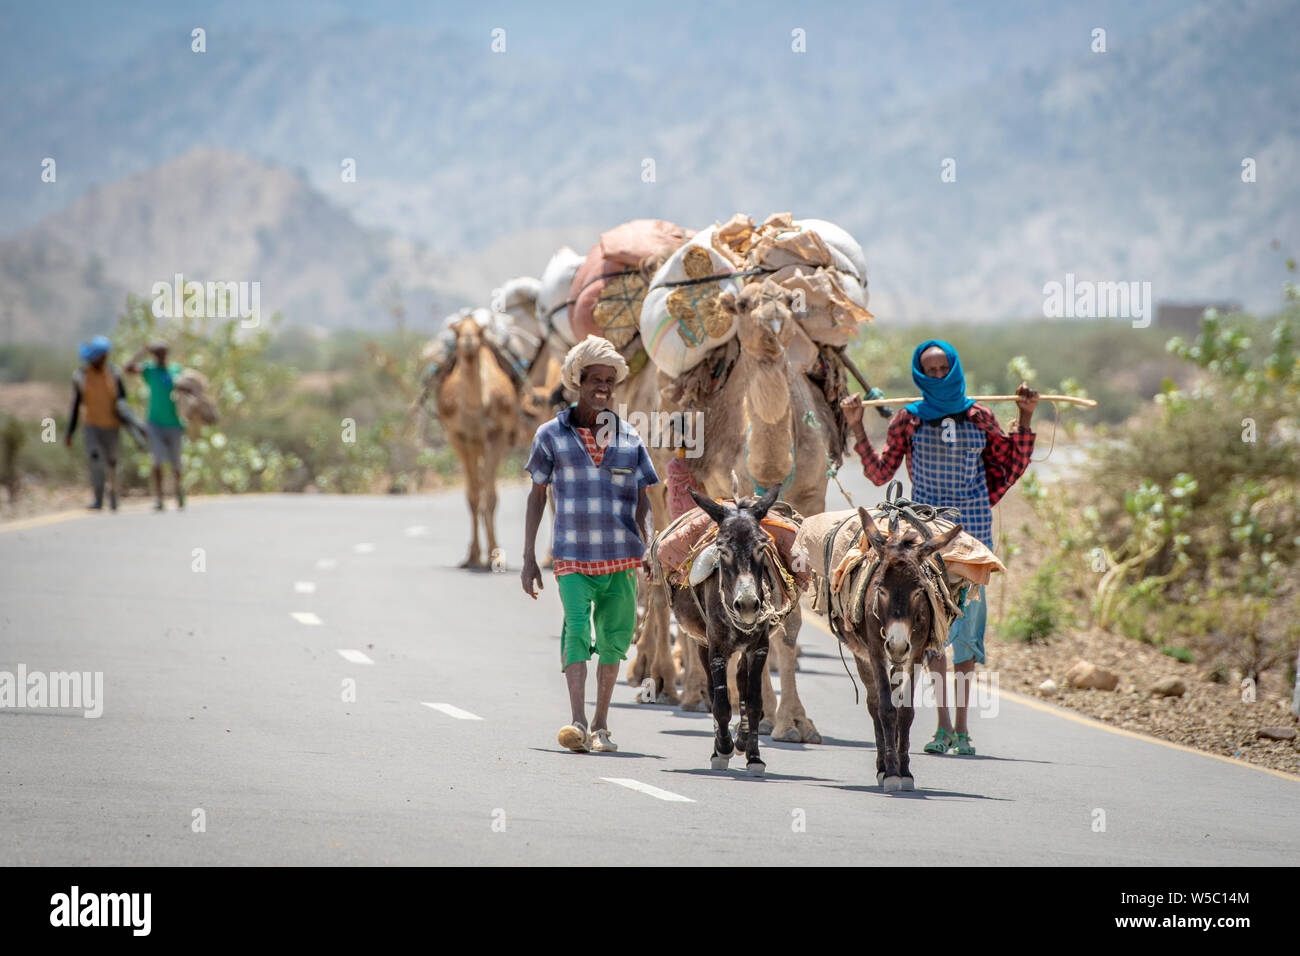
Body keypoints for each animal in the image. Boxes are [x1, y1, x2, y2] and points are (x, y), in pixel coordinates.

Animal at [435, 313, 521, 568]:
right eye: (457, 332)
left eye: (480, 331)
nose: (468, 341)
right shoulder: (459, 438)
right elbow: (472, 497)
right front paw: (473, 555)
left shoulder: (497, 436)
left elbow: (491, 497)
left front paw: (495, 554)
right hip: (474, 446)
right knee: (478, 489)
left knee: (486, 489)